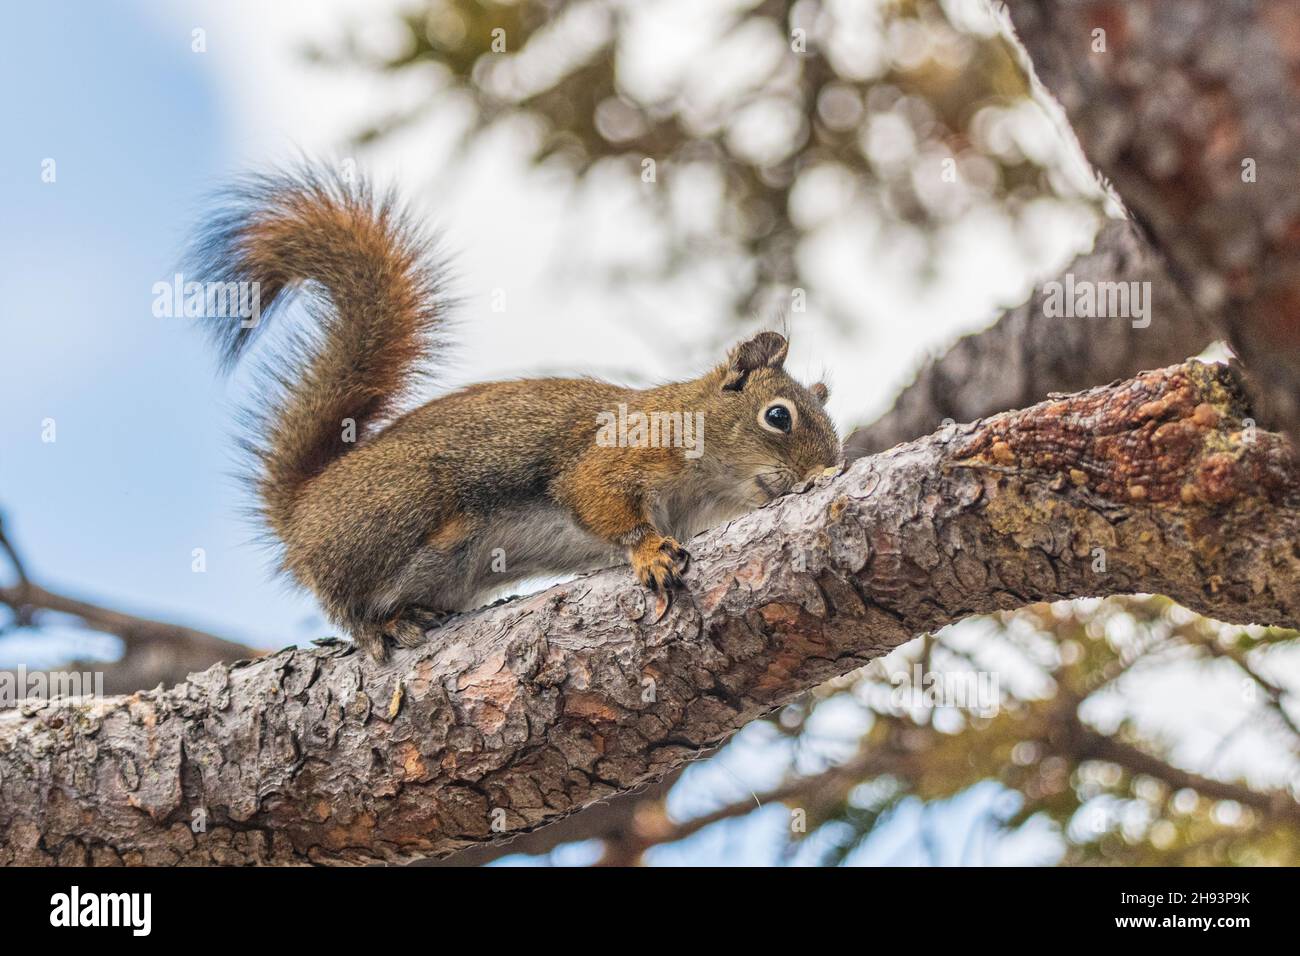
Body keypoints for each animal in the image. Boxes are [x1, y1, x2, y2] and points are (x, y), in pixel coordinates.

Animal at [191, 166, 841, 660]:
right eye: (778, 417)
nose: (824, 471)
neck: (704, 477)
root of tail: (303, 509)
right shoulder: (617, 454)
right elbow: (601, 501)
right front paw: (650, 553)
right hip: (399, 504)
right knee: (339, 595)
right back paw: (379, 627)